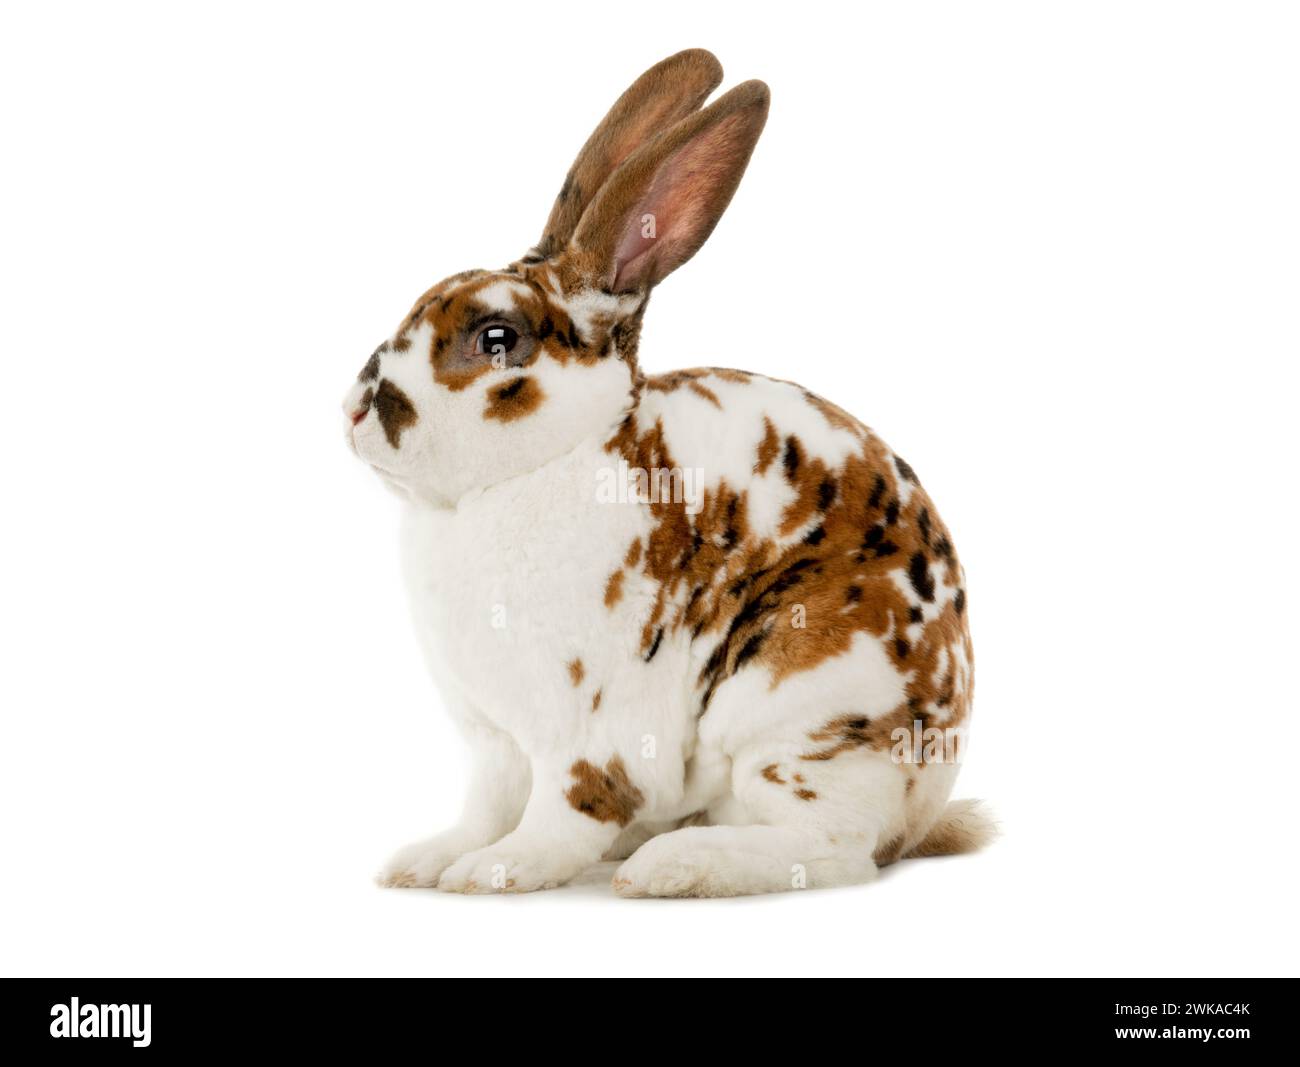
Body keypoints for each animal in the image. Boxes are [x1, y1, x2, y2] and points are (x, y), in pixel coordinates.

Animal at [342, 48, 992, 897]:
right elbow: (486, 805)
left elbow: (563, 812)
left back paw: (672, 866)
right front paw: (428, 860)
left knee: (829, 847)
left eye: (496, 338)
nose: (358, 409)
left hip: (793, 714)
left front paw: (497, 870)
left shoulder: (587, 733)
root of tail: (921, 810)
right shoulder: (494, 743)